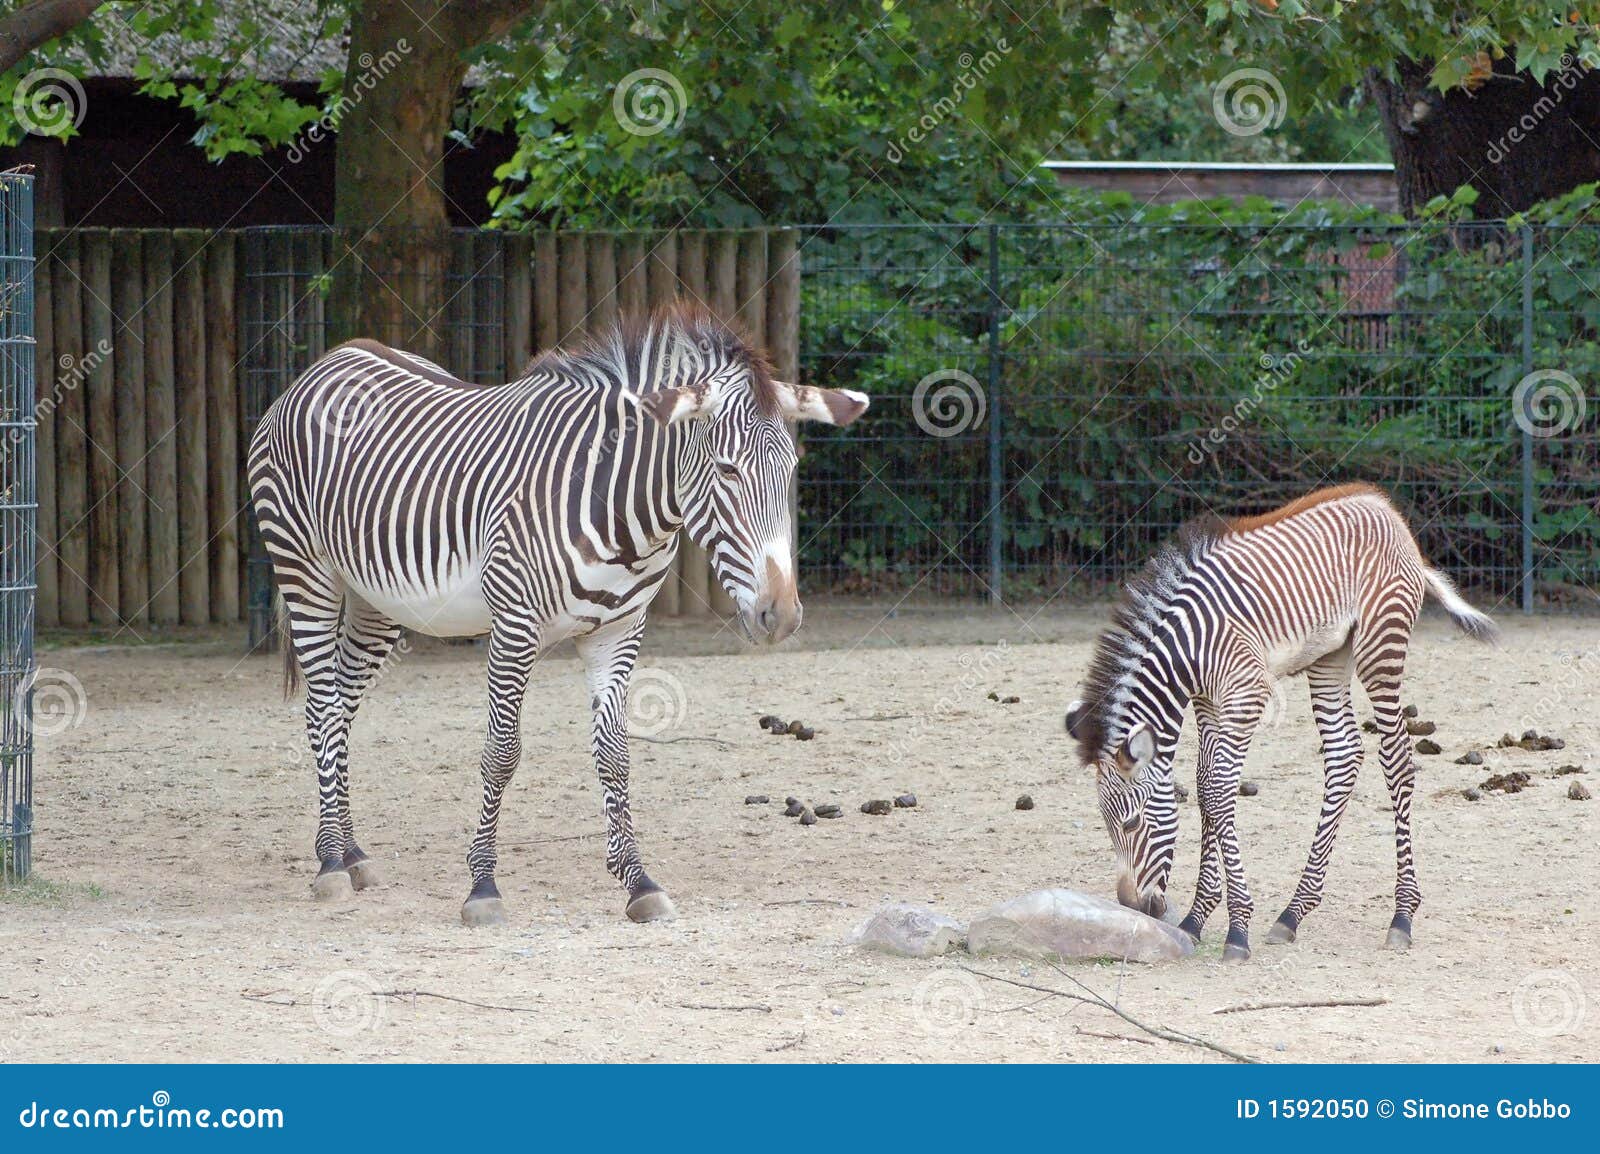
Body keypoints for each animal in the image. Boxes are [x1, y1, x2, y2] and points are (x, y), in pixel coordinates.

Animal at [248, 305, 868, 926]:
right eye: (727, 471)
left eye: (792, 470)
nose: (781, 616)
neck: (620, 509)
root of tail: (331, 359)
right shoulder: (514, 624)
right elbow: (501, 753)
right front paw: (483, 887)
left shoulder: (619, 631)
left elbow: (615, 755)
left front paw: (638, 882)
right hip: (305, 570)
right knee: (323, 710)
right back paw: (330, 864)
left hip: (374, 600)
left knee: (342, 710)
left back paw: (352, 854)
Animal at [1063, 483, 1496, 961]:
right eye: (1106, 825)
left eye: (1131, 824)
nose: (1134, 907)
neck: (1187, 649)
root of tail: (1386, 508)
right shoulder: (1208, 703)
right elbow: (1205, 786)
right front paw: (1196, 919)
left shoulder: (1246, 696)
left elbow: (1218, 792)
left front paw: (1236, 929)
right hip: (1331, 655)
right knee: (1344, 756)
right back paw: (1293, 912)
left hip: (1381, 646)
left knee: (1398, 762)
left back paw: (1401, 916)